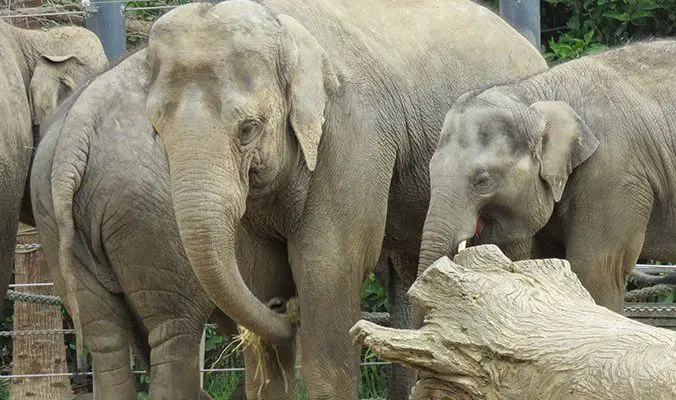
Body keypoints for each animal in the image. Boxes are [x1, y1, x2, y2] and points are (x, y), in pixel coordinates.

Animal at [144, 0, 548, 398]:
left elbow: (327, 266)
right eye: (156, 129)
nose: (283, 310)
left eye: (248, 129)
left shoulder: (353, 132)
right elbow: (259, 272)